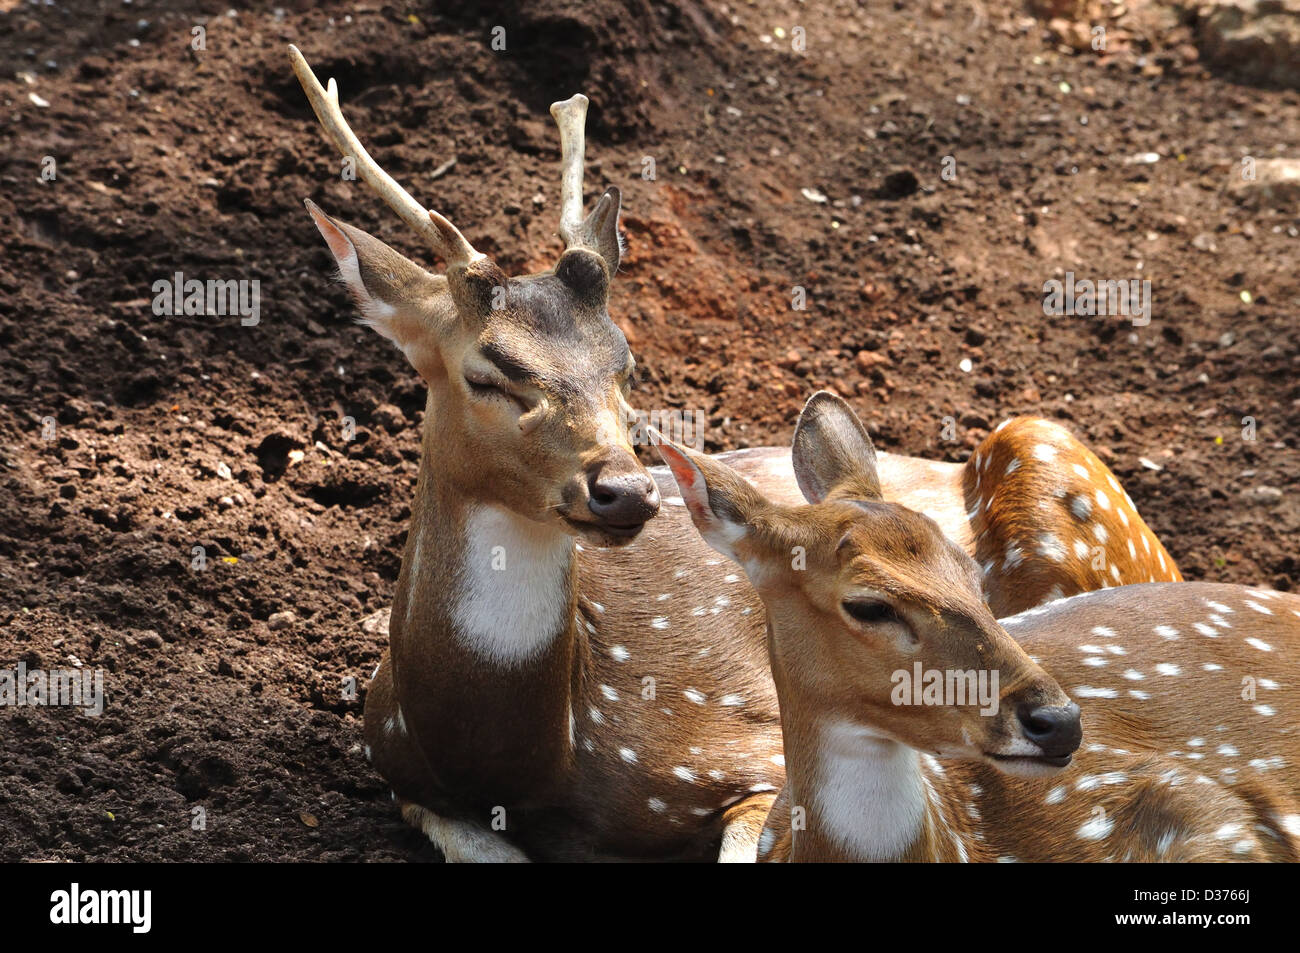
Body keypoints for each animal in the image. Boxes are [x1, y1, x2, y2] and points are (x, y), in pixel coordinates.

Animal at [287, 44, 1184, 861]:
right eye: (486, 371)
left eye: (625, 361)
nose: (625, 490)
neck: (531, 750)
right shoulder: (402, 775)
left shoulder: (744, 746)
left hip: (1055, 460)